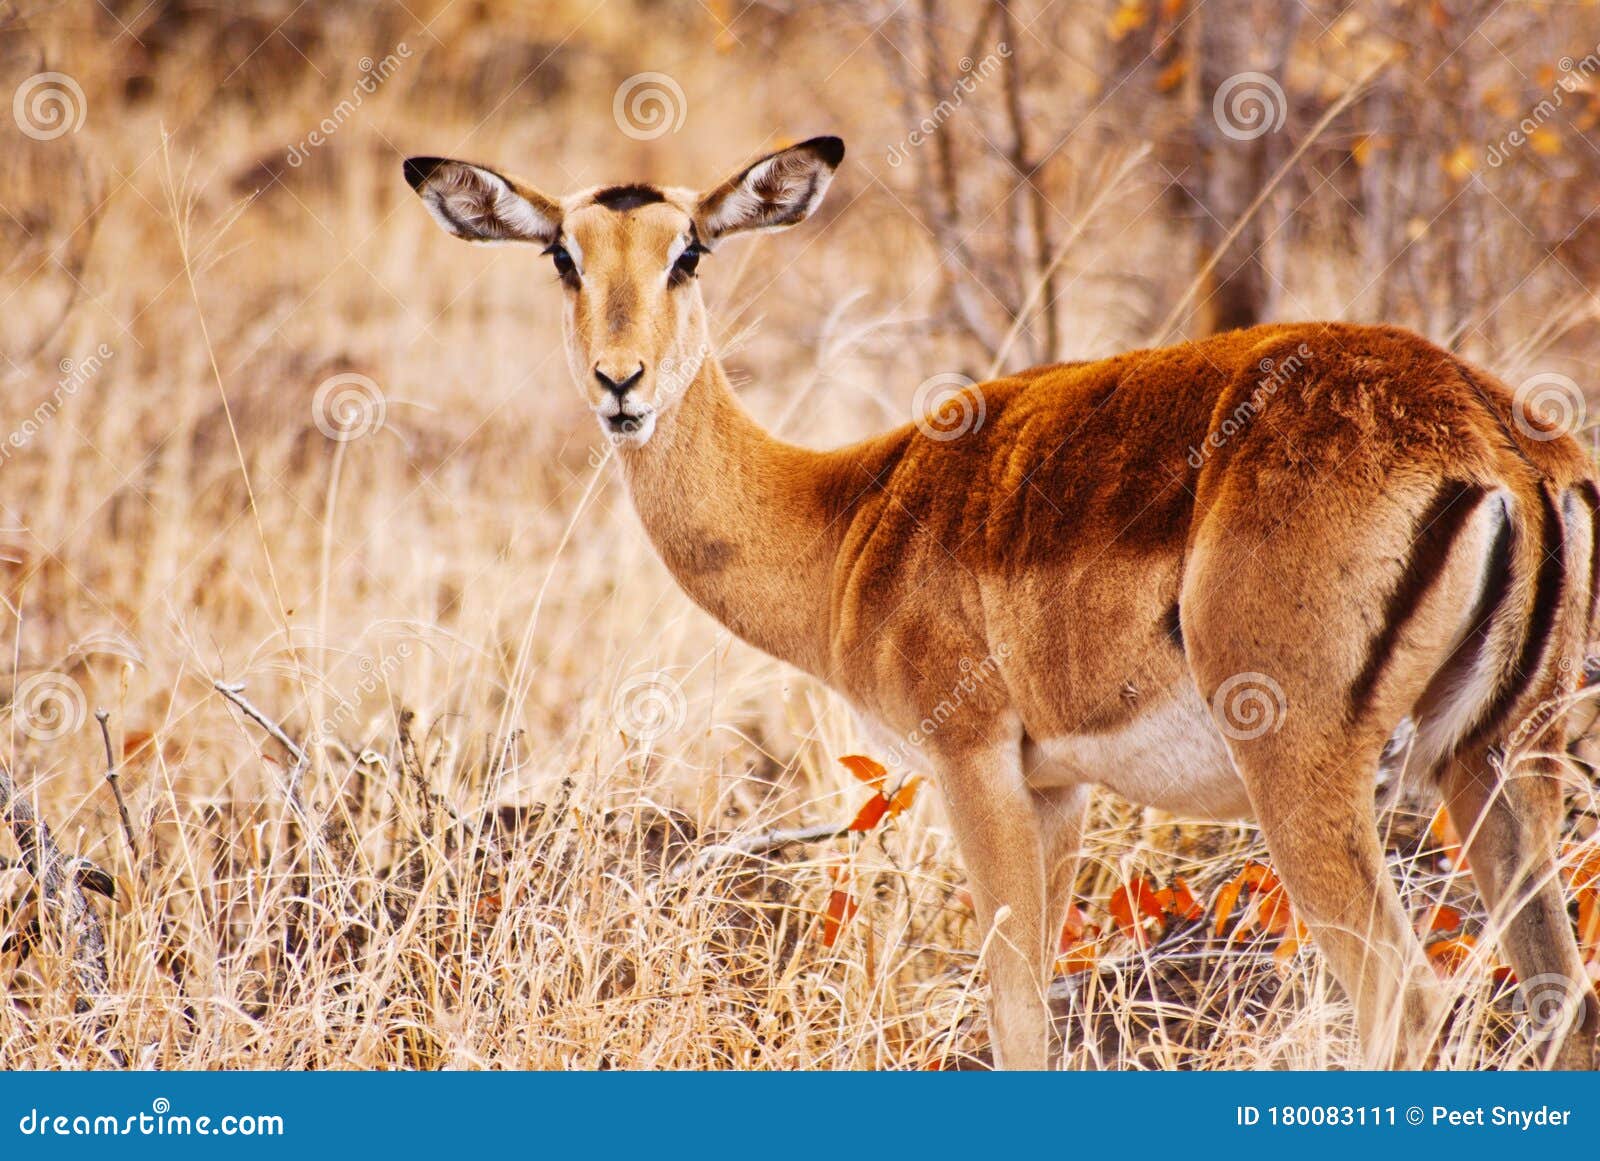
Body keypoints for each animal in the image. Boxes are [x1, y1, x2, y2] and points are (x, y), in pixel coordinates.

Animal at [404, 136, 1600, 1070]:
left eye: (688, 251)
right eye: (562, 255)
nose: (623, 384)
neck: (849, 515)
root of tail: (1495, 442)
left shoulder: (971, 761)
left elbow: (1018, 1016)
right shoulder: (1057, 788)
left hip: (1309, 771)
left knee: (1407, 996)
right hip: (1494, 764)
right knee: (1561, 1002)